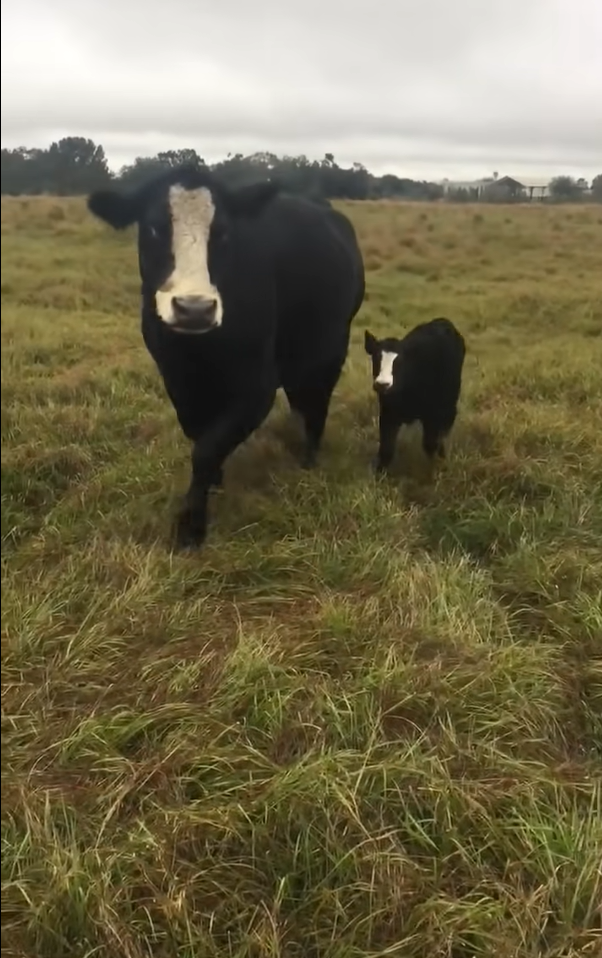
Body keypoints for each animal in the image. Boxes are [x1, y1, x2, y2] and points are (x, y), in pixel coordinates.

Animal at [86, 165, 365, 548]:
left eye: (224, 232)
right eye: (154, 227)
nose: (194, 309)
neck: (199, 353)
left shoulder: (258, 389)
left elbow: (206, 450)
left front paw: (191, 526)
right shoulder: (176, 380)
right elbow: (200, 436)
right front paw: (212, 484)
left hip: (330, 348)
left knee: (315, 404)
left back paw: (309, 458)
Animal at [363, 317, 466, 474]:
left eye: (399, 361)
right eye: (375, 359)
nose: (382, 384)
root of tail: (443, 321)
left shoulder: (433, 415)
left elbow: (431, 444)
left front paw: (439, 468)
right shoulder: (388, 413)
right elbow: (386, 448)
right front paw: (379, 474)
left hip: (449, 402)